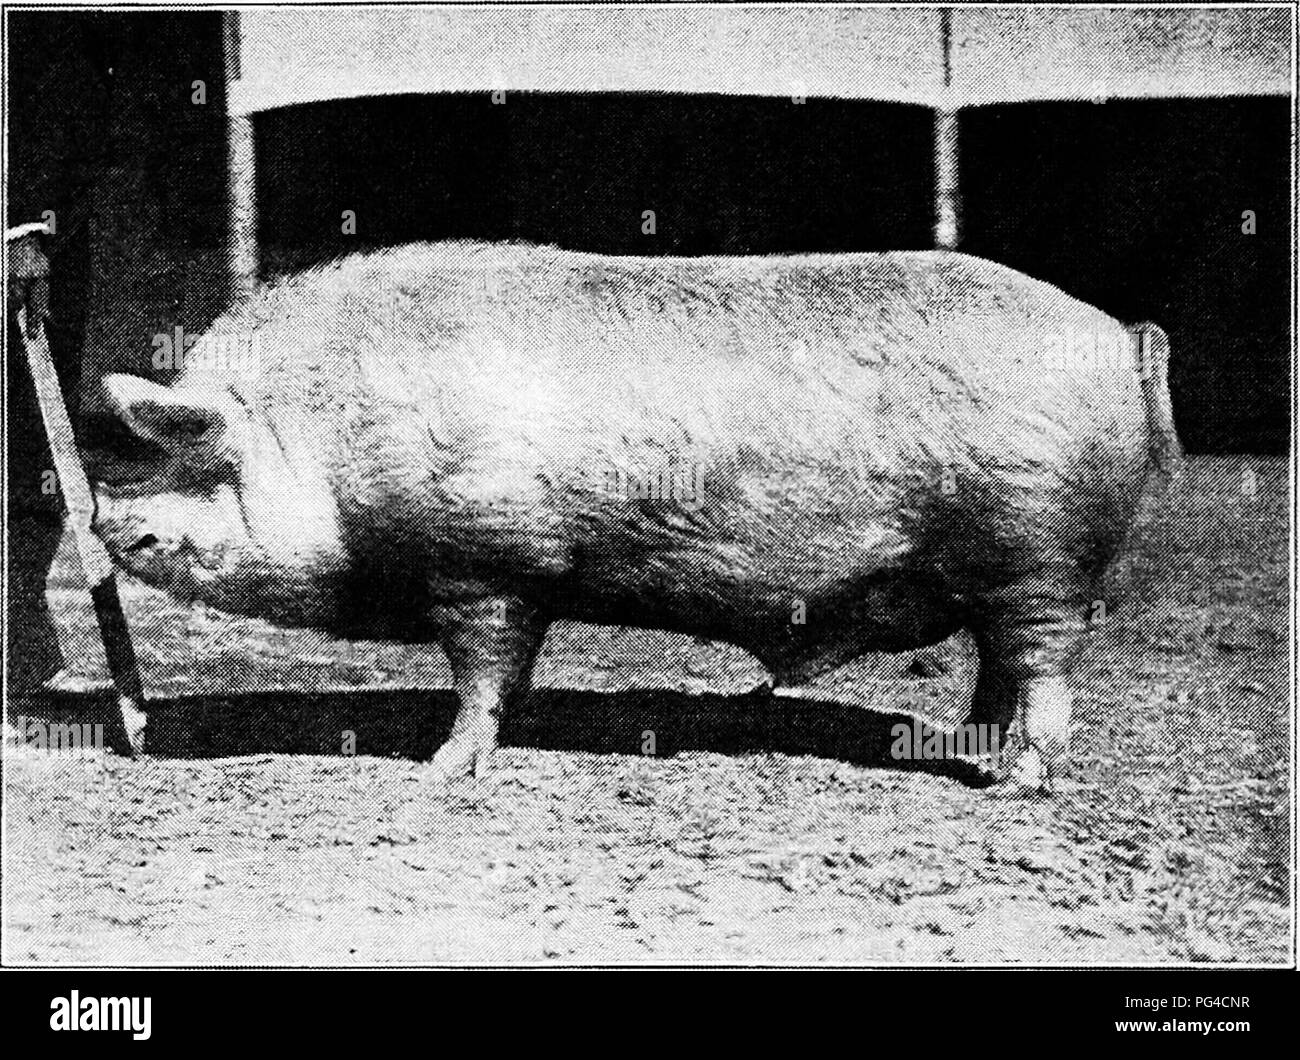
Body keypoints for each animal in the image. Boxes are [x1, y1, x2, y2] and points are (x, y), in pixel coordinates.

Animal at [90, 242, 1180, 791]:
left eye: (202, 453)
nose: (105, 517)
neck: (328, 433)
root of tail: (1116, 331)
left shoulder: (486, 557)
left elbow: (482, 670)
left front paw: (441, 768)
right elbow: (509, 670)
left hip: (1039, 552)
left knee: (1043, 664)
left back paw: (1014, 782)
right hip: (1009, 565)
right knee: (1001, 665)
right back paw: (967, 750)